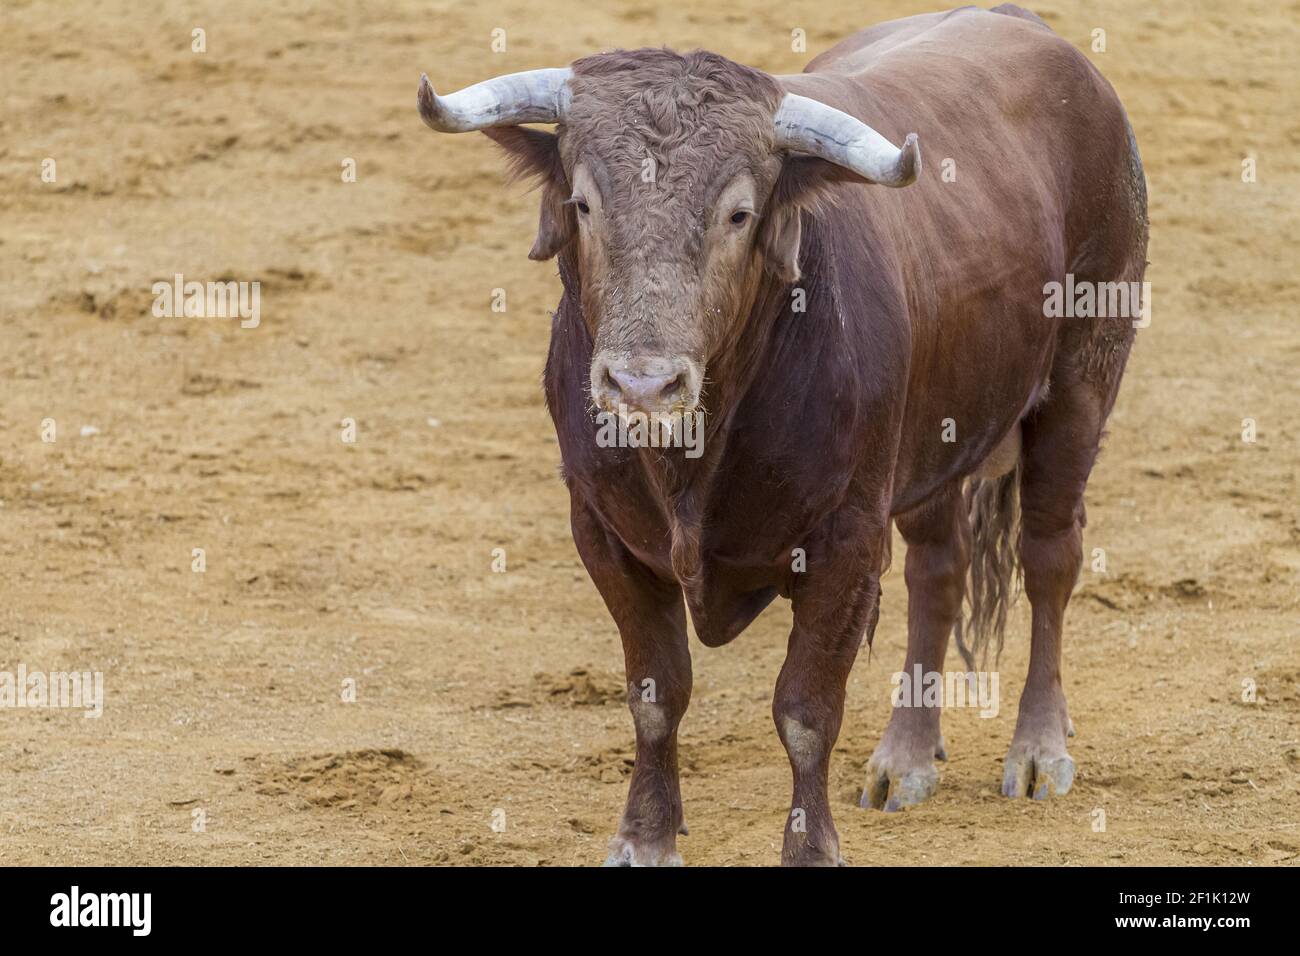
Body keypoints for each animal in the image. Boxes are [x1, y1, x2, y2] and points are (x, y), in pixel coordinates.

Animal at [417, 4, 1148, 865]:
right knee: (939, 569)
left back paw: (1038, 751)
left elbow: (805, 710)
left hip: (1081, 384)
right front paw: (645, 837)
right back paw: (905, 758)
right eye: (586, 205)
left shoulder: (846, 543)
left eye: (739, 214)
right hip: (933, 446)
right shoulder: (602, 532)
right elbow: (656, 695)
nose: (642, 387)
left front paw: (810, 848)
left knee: (1049, 557)